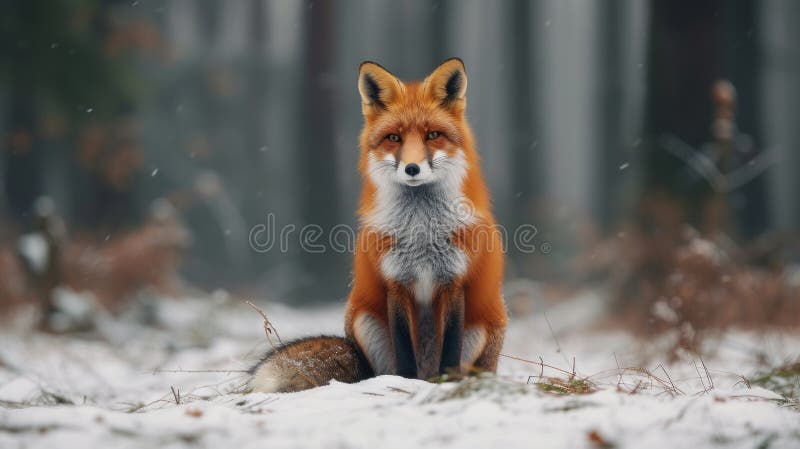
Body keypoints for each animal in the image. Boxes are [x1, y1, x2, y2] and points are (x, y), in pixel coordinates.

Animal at [250, 58, 507, 393]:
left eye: (432, 135)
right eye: (394, 138)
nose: (412, 168)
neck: (421, 231)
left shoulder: (454, 280)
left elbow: (450, 348)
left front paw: (446, 385)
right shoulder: (395, 282)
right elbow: (404, 348)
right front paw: (405, 383)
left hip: (480, 329)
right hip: (364, 321)